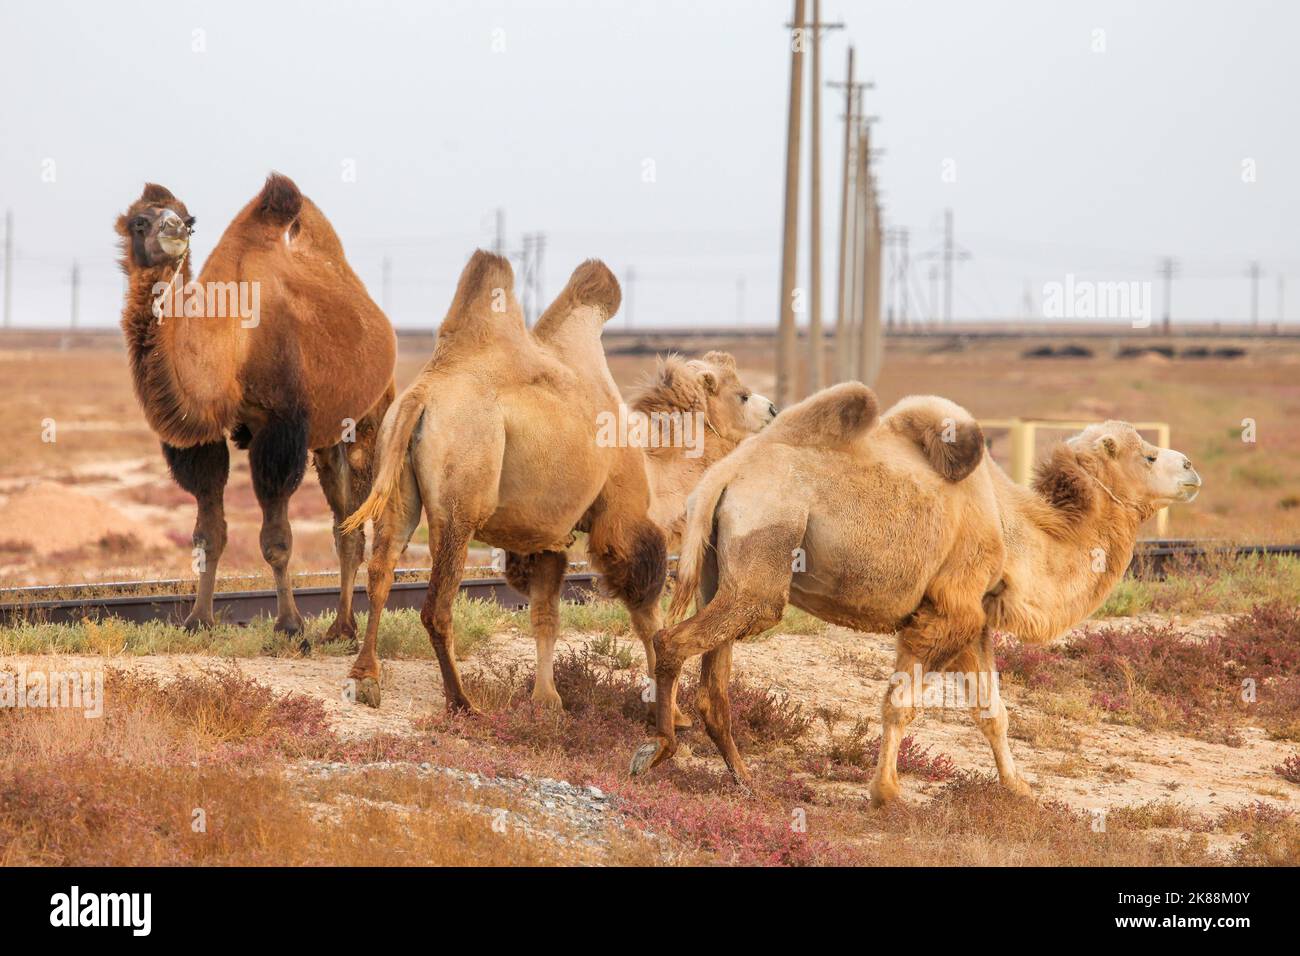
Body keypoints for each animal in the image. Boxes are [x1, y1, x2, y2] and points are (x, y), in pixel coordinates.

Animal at [116, 175, 396, 643]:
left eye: (189, 219)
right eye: (141, 221)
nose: (176, 229)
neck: (231, 347)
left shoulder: (279, 428)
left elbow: (277, 540)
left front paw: (290, 625)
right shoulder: (203, 438)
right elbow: (208, 535)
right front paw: (199, 620)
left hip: (370, 414)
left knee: (356, 516)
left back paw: (342, 627)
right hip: (327, 438)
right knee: (343, 525)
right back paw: (341, 626)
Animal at [339, 251, 773, 713]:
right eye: (743, 395)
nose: (773, 410)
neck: (651, 463)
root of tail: (423, 395)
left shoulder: (547, 538)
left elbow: (545, 616)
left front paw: (547, 700)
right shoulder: (625, 523)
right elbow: (647, 616)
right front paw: (673, 711)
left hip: (396, 479)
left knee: (381, 571)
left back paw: (365, 679)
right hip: (462, 495)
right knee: (436, 605)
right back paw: (462, 701)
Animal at [630, 383, 1202, 805]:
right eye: (1150, 456)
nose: (1191, 467)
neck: (1011, 528)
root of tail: (723, 475)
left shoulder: (975, 620)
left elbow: (993, 712)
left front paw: (1020, 789)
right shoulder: (943, 612)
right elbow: (901, 705)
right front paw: (887, 794)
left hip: (726, 571)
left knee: (715, 679)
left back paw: (745, 778)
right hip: (767, 549)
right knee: (674, 641)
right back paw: (657, 750)